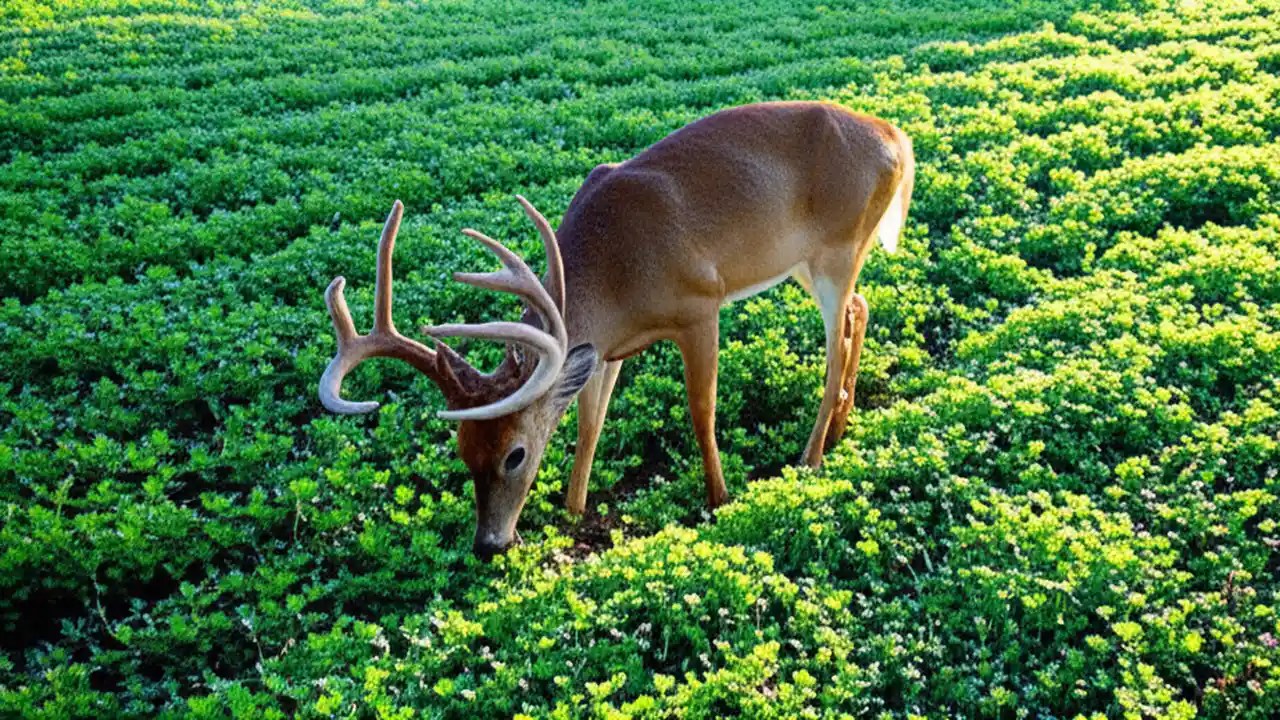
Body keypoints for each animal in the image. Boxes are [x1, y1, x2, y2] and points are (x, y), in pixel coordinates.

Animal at [318, 101, 914, 560]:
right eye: (463, 451)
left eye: (515, 454)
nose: (488, 545)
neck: (615, 275)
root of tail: (896, 137)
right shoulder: (605, 348)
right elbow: (591, 424)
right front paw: (574, 510)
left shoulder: (701, 303)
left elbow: (702, 412)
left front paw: (719, 501)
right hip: (807, 260)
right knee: (860, 308)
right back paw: (839, 428)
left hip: (838, 245)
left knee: (836, 344)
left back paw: (811, 457)